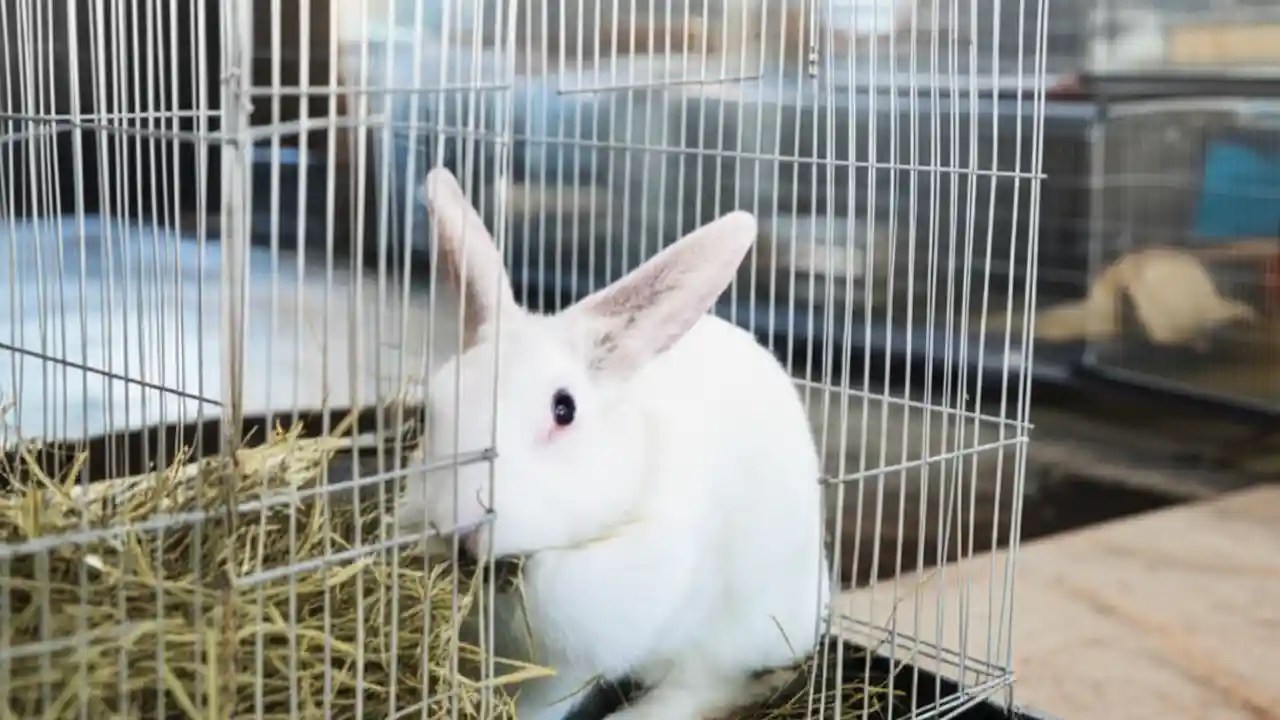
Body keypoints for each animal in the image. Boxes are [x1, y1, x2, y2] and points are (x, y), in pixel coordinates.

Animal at [396, 166, 832, 720]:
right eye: (426, 411)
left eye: (564, 409)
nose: (459, 527)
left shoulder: (573, 658)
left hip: (737, 634)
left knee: (713, 686)